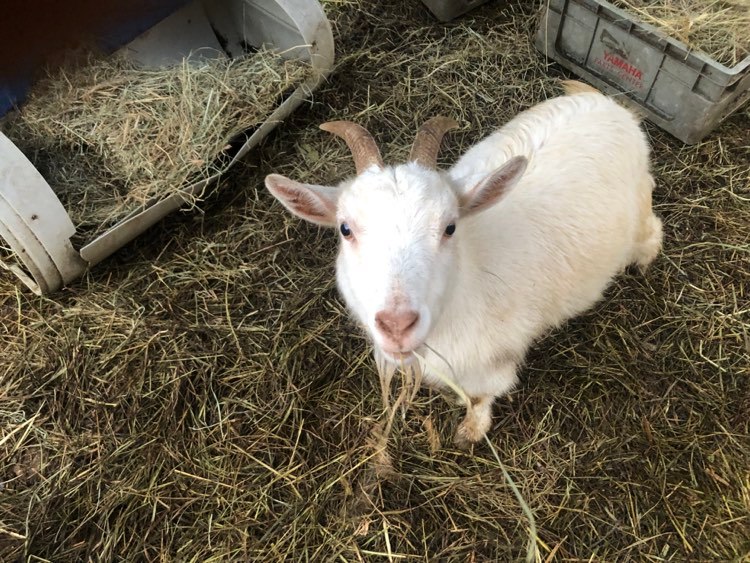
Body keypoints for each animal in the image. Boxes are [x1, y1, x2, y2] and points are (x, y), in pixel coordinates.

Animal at [265, 81, 663, 445]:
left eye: (450, 227)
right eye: (345, 229)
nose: (397, 325)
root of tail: (609, 104)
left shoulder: (494, 363)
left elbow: (482, 395)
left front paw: (471, 429)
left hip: (640, 206)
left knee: (652, 231)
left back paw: (643, 262)